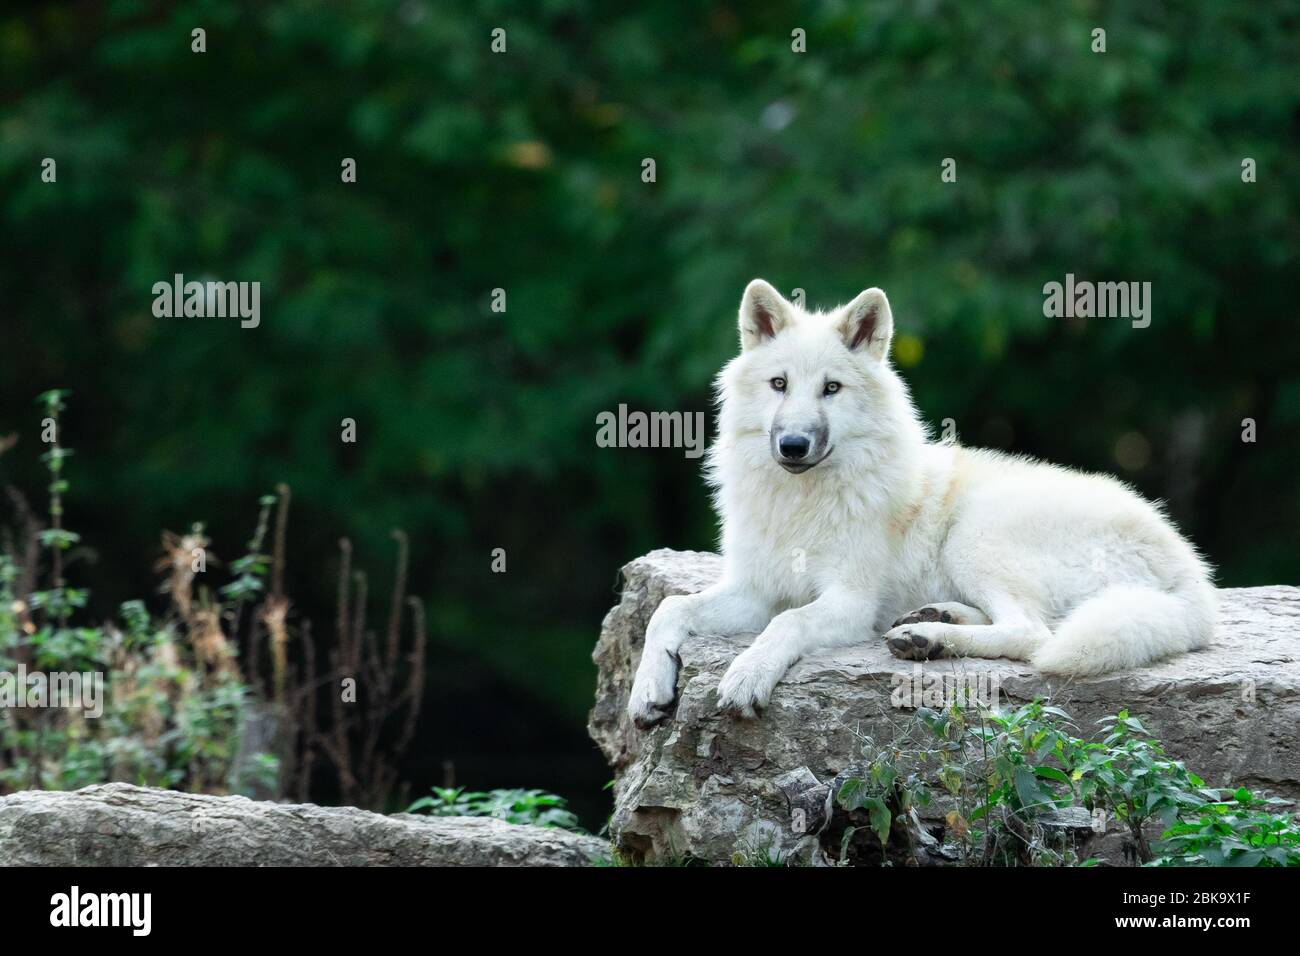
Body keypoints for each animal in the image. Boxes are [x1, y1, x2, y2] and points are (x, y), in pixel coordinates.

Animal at [627, 280, 1216, 727]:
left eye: (831, 389)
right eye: (779, 384)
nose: (792, 445)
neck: (802, 502)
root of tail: (1193, 577)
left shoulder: (850, 602)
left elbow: (787, 623)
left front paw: (747, 676)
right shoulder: (754, 590)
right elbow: (669, 608)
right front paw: (647, 689)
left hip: (974, 536)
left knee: (1034, 634)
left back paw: (927, 636)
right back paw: (932, 621)